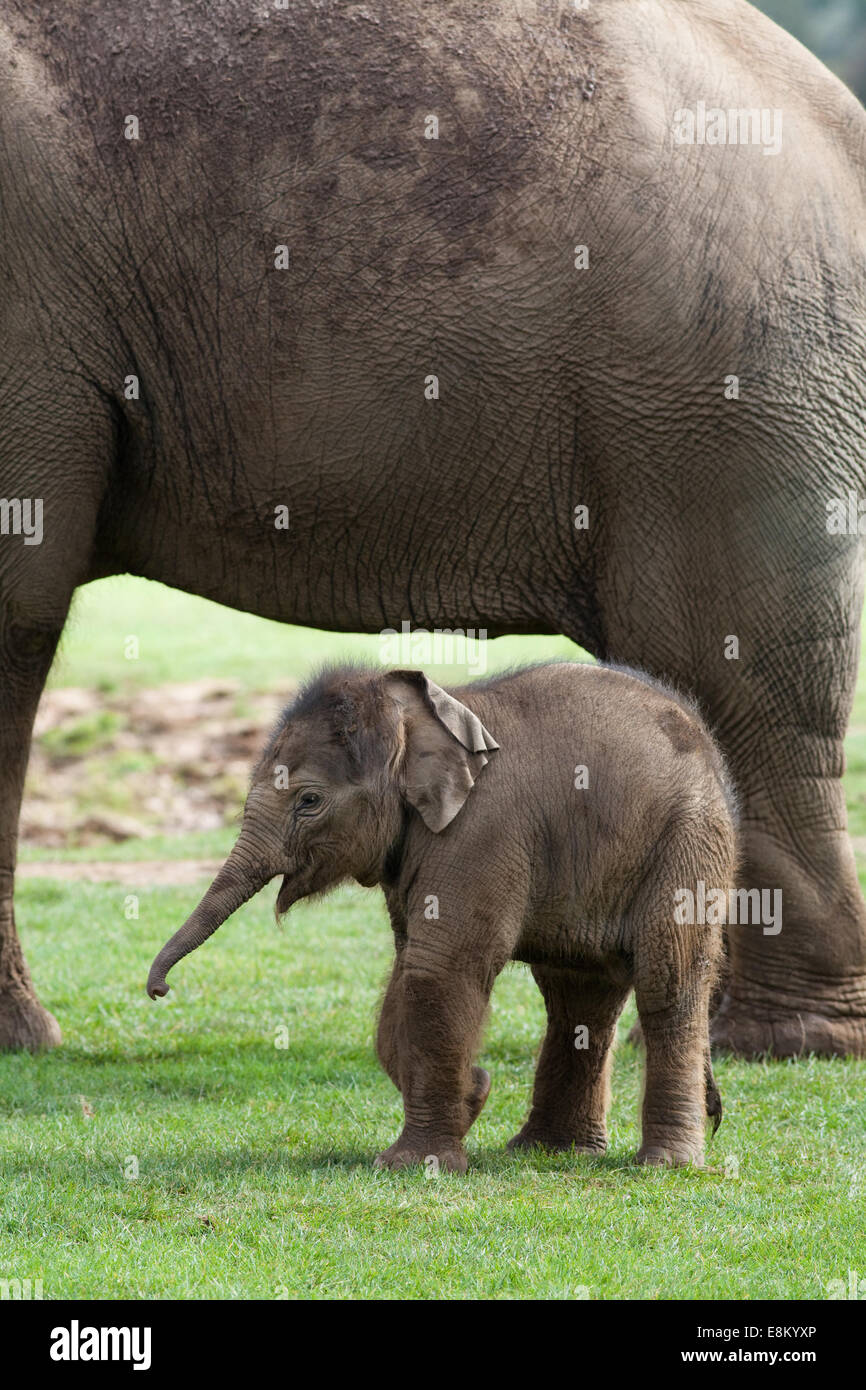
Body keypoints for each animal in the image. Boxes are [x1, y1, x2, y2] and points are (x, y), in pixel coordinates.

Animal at [0, 0, 865, 1057]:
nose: (156, 994)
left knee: (739, 680)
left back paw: (785, 1045)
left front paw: (18, 1044)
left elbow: (17, 600)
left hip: (722, 397)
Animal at [147, 663, 734, 1171]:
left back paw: (664, 1164)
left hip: (688, 841)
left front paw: (413, 1163)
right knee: (578, 992)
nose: (159, 990)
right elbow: (408, 966)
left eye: (309, 800)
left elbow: (439, 967)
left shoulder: (480, 830)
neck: (419, 714)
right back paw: (549, 1151)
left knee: (667, 977)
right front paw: (473, 1094)